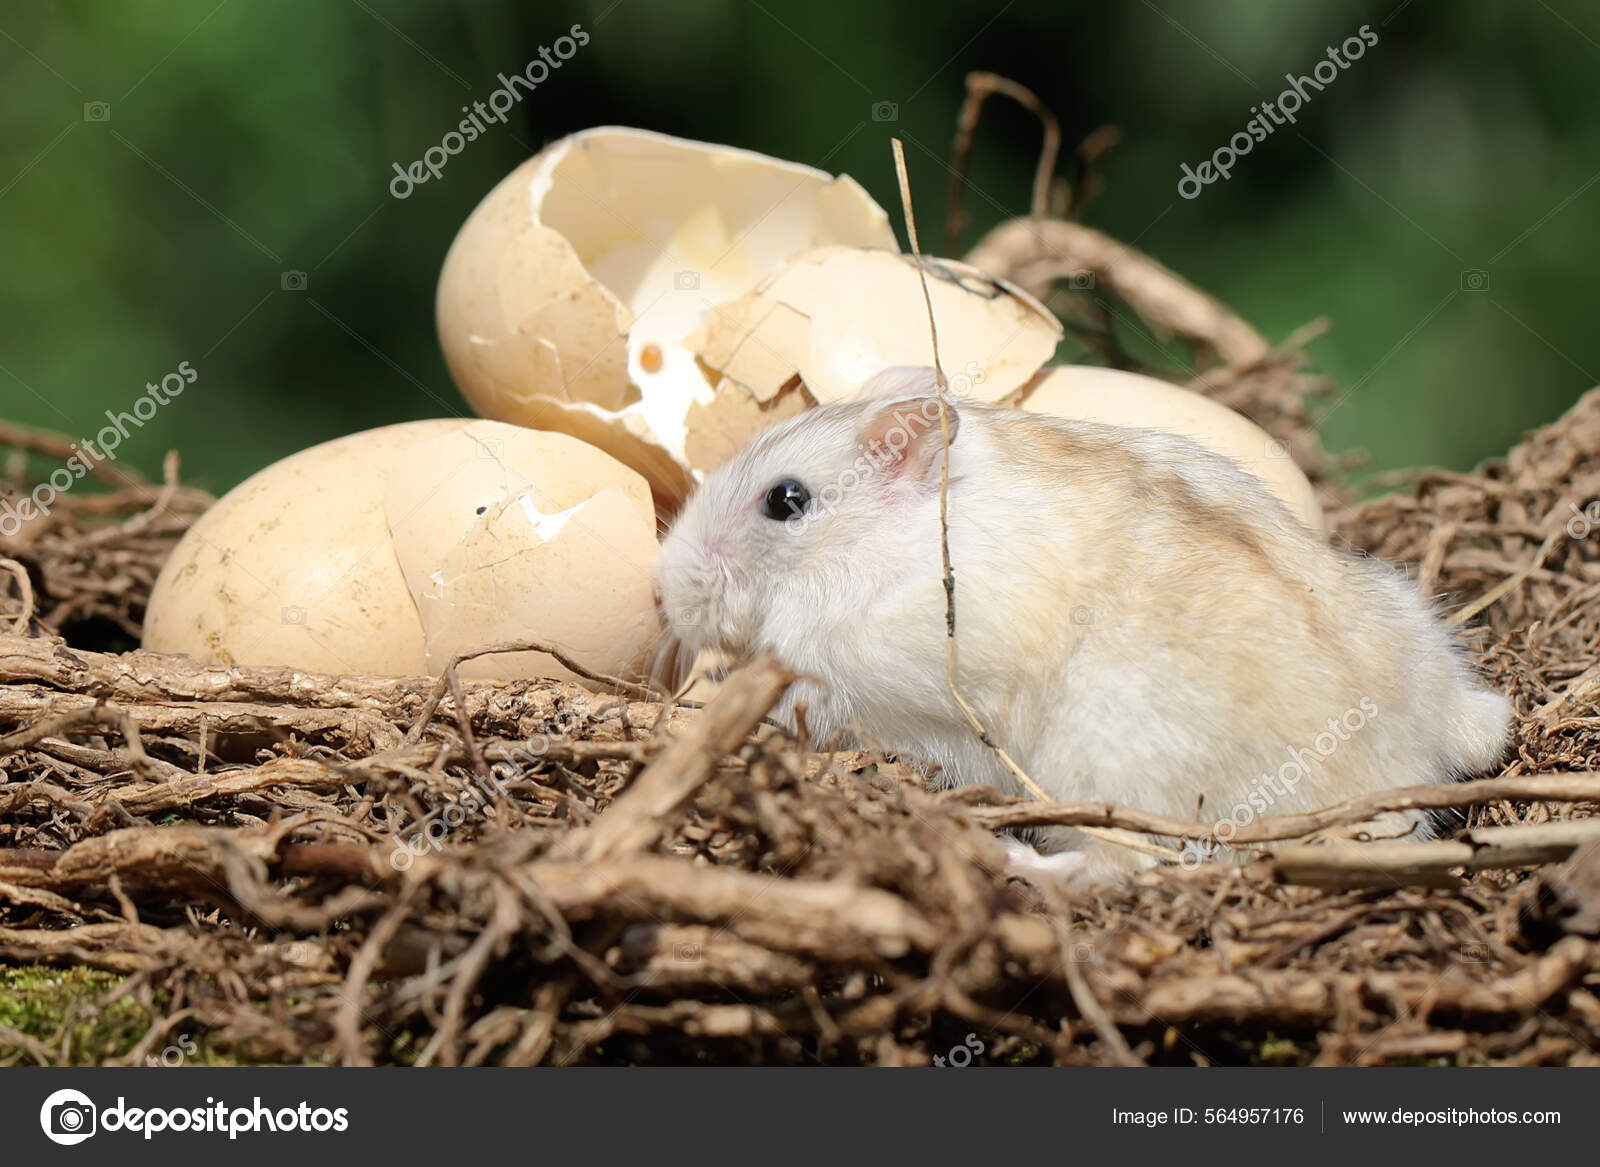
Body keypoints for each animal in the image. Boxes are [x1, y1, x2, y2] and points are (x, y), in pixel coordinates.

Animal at [653, 366, 1512, 883]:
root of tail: (1415, 753)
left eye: (785, 500)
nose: (664, 588)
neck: (871, 550)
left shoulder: (865, 679)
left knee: (1116, 868)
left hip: (1110, 775)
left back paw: (1009, 855)